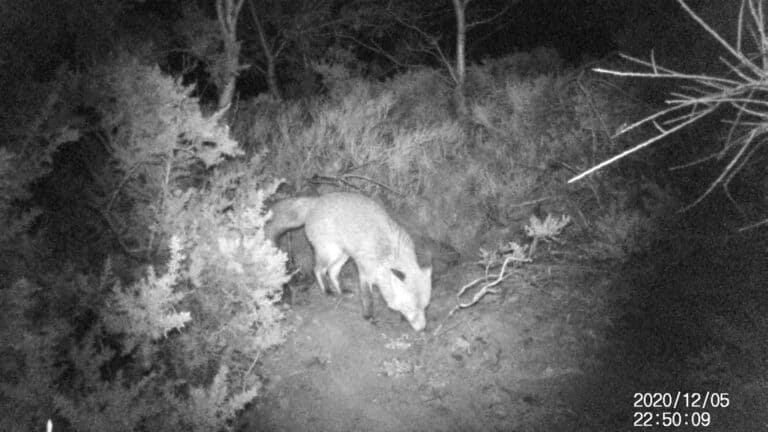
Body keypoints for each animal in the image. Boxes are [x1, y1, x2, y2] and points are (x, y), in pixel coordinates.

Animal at [264, 192, 432, 331]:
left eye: (425, 308)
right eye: (409, 307)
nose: (422, 329)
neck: (387, 256)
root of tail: (316, 200)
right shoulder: (365, 274)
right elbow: (368, 299)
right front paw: (369, 317)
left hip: (343, 255)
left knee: (332, 272)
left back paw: (342, 290)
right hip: (331, 253)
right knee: (318, 270)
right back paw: (328, 291)